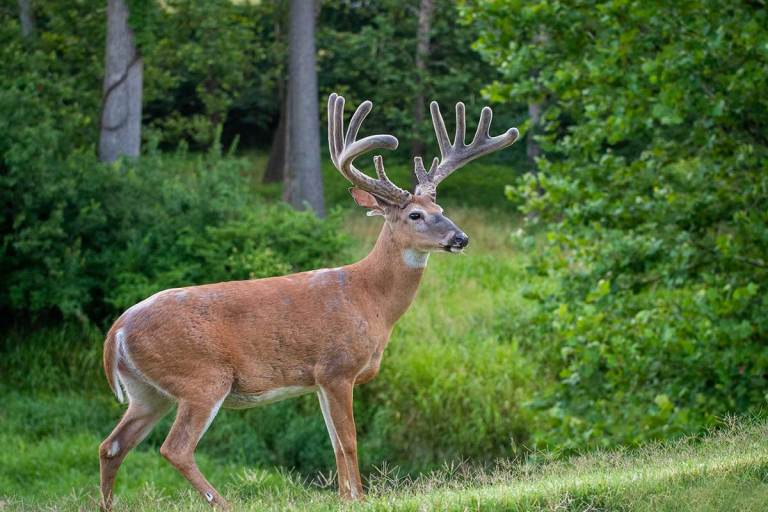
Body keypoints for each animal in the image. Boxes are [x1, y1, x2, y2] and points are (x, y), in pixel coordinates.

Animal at [98, 93, 519, 510]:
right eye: (416, 215)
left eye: (441, 210)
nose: (460, 238)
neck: (371, 301)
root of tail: (116, 331)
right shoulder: (336, 368)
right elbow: (349, 441)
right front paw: (358, 499)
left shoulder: (318, 380)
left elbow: (334, 444)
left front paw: (346, 497)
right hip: (201, 377)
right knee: (175, 447)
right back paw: (222, 502)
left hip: (147, 391)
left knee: (111, 445)